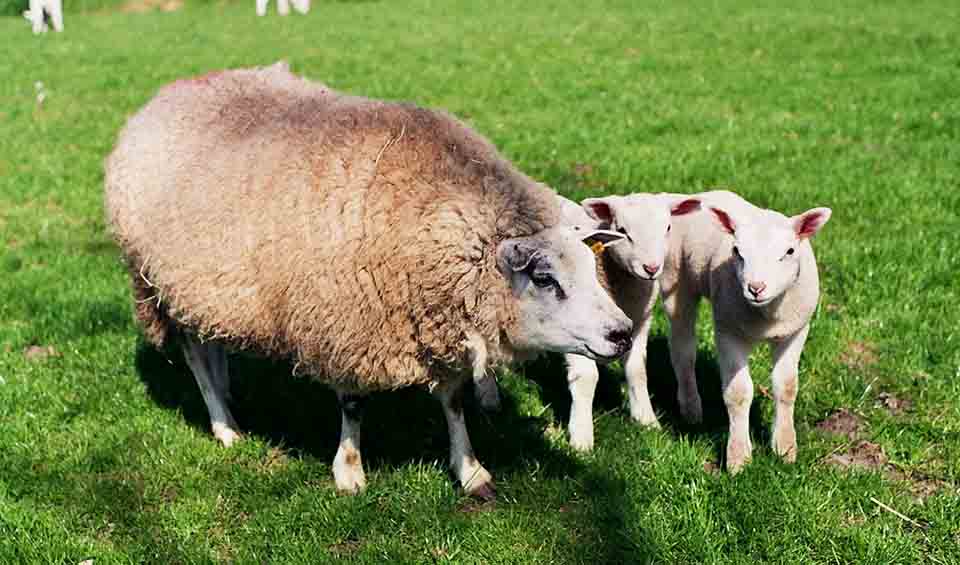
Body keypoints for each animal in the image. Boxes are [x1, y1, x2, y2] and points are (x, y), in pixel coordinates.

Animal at [104, 62, 634, 499]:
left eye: (591, 268)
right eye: (545, 278)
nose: (623, 333)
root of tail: (172, 89)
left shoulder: (433, 322)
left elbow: (453, 402)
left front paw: (470, 471)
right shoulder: (344, 323)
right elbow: (353, 404)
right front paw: (349, 472)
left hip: (209, 287)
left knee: (211, 343)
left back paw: (228, 393)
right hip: (161, 283)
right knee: (194, 354)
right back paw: (224, 426)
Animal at [659, 190, 831, 472]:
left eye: (789, 251)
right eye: (737, 252)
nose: (756, 288)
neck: (768, 315)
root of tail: (689, 196)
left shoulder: (795, 331)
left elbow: (787, 386)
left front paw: (785, 449)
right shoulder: (728, 331)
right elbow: (738, 393)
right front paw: (738, 459)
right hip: (676, 281)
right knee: (682, 350)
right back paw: (691, 410)